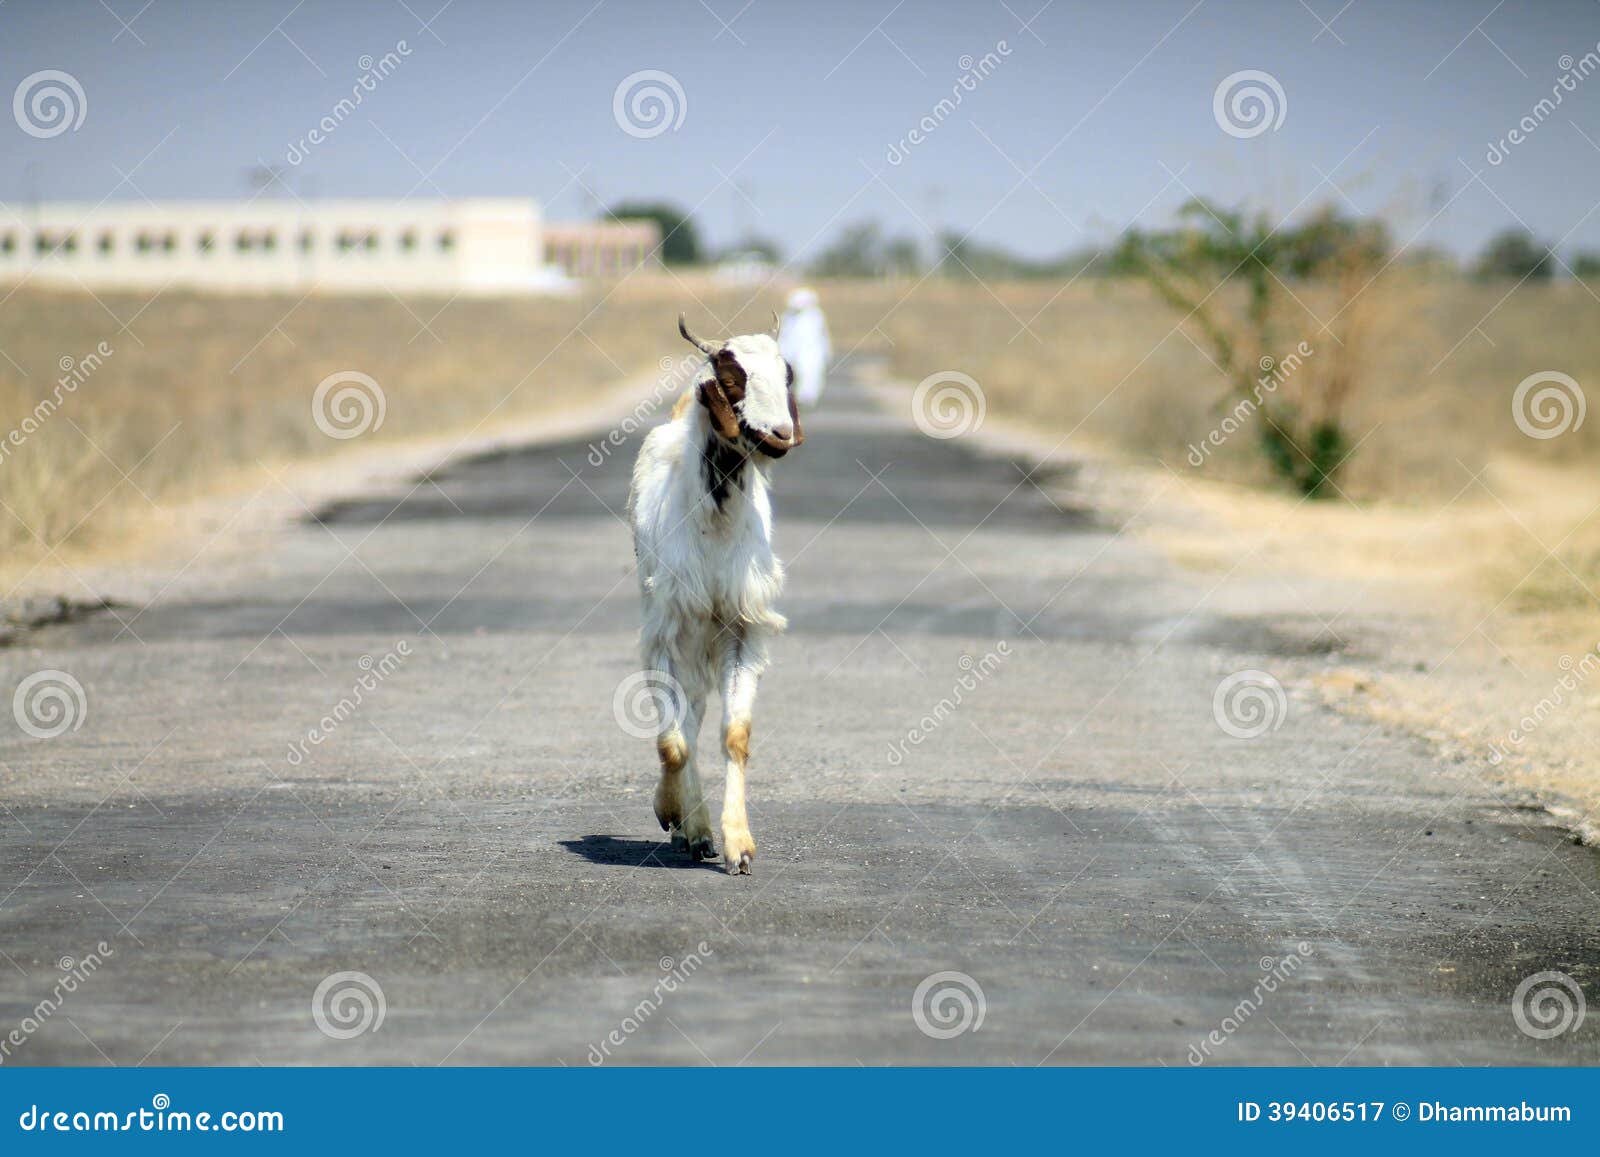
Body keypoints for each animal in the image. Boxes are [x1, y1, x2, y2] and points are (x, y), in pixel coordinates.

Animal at [626, 313, 804, 874]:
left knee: (699, 711)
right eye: (731, 378)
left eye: (787, 374)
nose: (780, 435)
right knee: (685, 716)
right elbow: (673, 744)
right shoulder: (664, 629)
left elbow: (734, 735)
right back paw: (689, 827)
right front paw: (671, 814)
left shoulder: (742, 625)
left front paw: (738, 845)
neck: (717, 522)